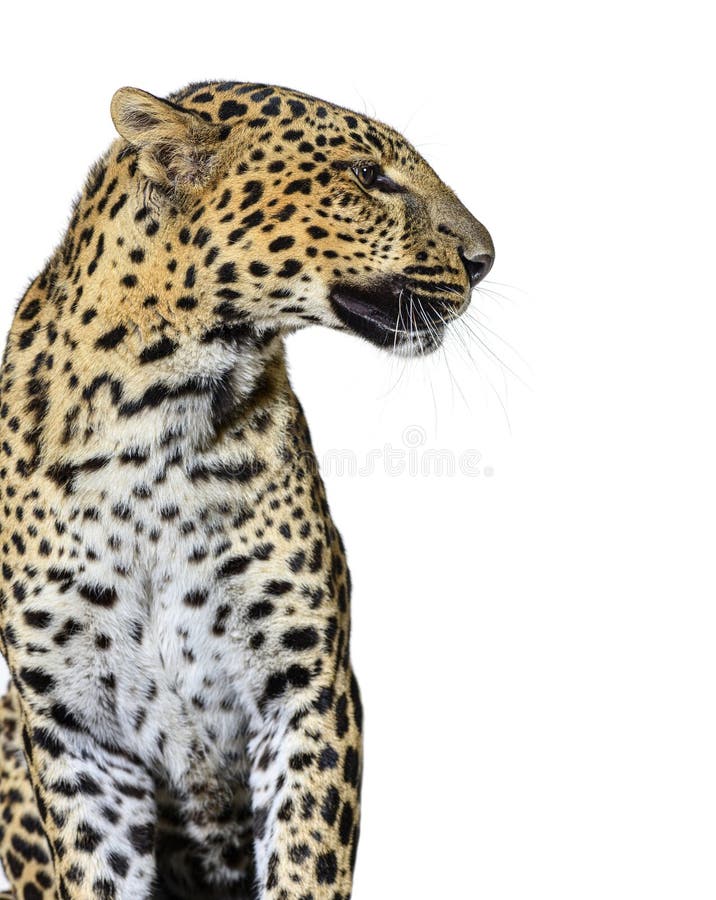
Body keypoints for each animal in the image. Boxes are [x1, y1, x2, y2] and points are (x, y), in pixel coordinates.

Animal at [0, 80, 494, 899]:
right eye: (367, 175)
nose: (485, 258)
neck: (156, 413)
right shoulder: (74, 728)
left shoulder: (307, 689)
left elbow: (306, 858)